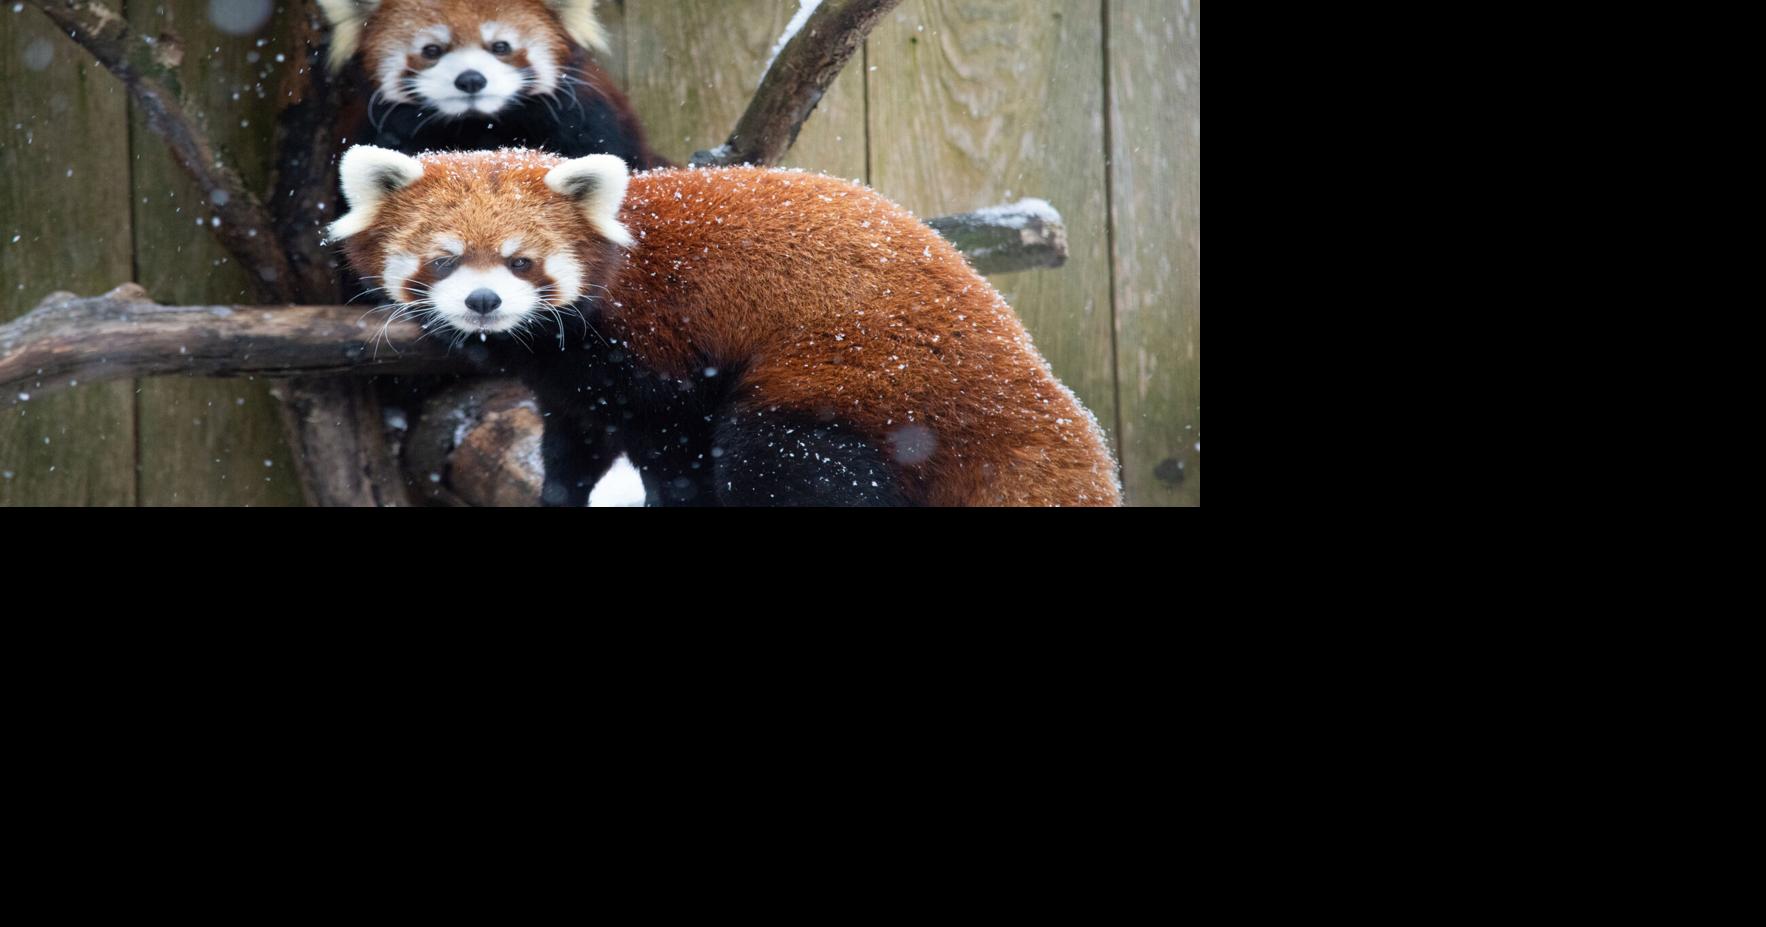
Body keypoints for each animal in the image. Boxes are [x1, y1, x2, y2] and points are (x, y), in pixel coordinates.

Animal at [329, 146, 1123, 507]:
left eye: (521, 261)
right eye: (444, 260)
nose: (484, 303)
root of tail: (1019, 376)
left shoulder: (654, 345)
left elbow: (673, 438)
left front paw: (671, 498)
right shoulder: (567, 381)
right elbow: (572, 441)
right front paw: (559, 494)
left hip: (858, 385)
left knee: (778, 456)